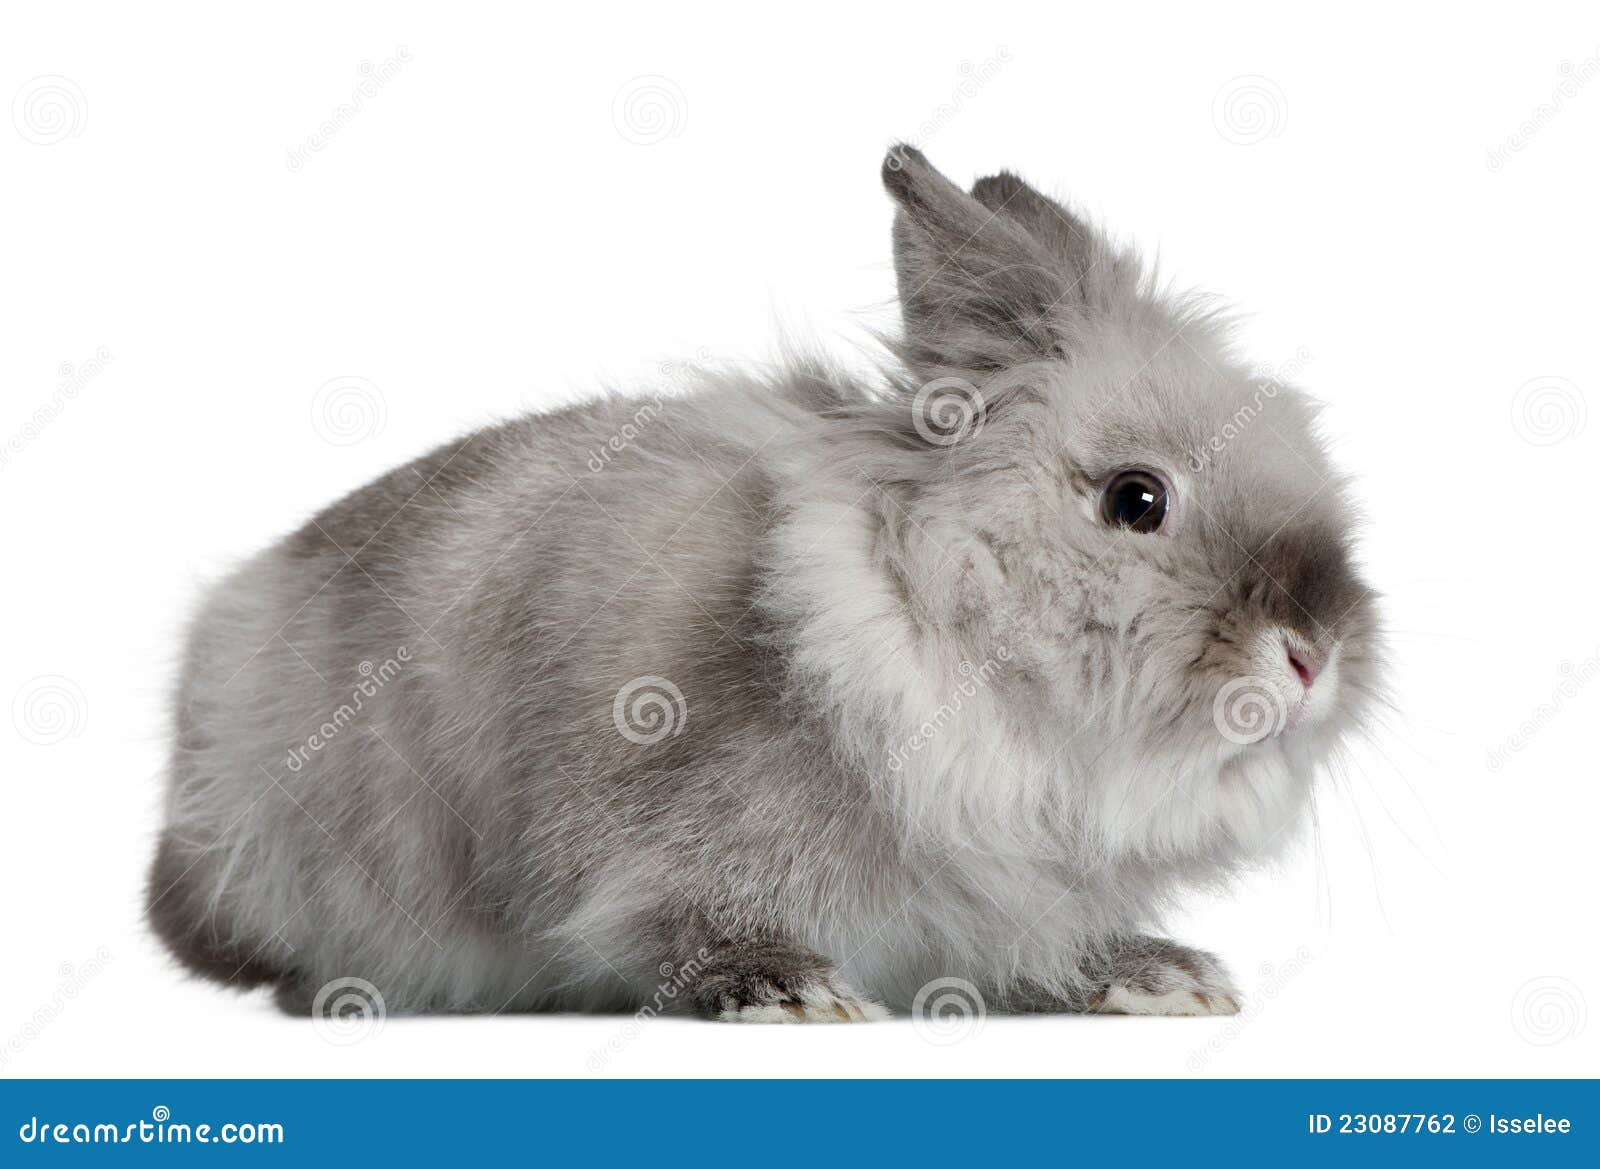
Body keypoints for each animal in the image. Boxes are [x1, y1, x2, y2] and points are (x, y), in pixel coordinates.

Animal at [146, 145, 1381, 1022]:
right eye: (1136, 499)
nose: (1314, 656)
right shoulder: (645, 832)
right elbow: (674, 918)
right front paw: (787, 989)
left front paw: (1159, 974)